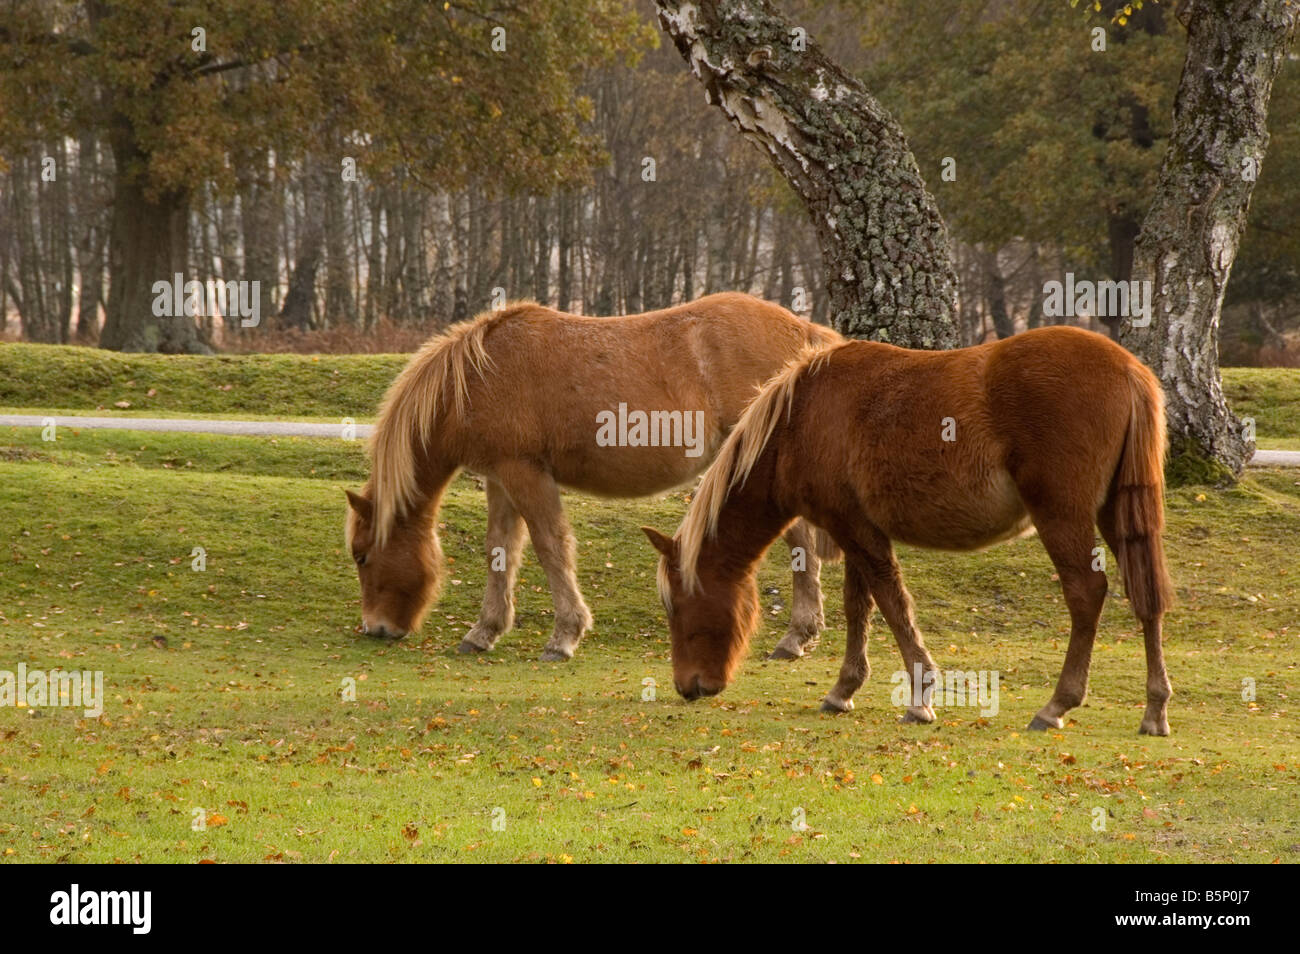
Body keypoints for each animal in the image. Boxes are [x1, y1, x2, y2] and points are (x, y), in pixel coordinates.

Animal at [345, 292, 843, 661]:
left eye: (362, 556)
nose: (376, 628)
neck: (479, 375)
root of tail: (803, 335)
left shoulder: (526, 474)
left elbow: (551, 547)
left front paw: (564, 636)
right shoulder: (501, 478)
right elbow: (500, 552)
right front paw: (484, 632)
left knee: (800, 542)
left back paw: (795, 637)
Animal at [642, 325, 1175, 735]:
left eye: (678, 608)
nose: (687, 686)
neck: (801, 420)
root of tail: (1129, 368)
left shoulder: (856, 529)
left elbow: (891, 603)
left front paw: (920, 697)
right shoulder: (851, 527)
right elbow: (859, 606)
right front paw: (843, 690)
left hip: (1062, 515)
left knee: (1087, 594)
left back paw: (1057, 705)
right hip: (1115, 512)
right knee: (1144, 595)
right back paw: (1154, 710)